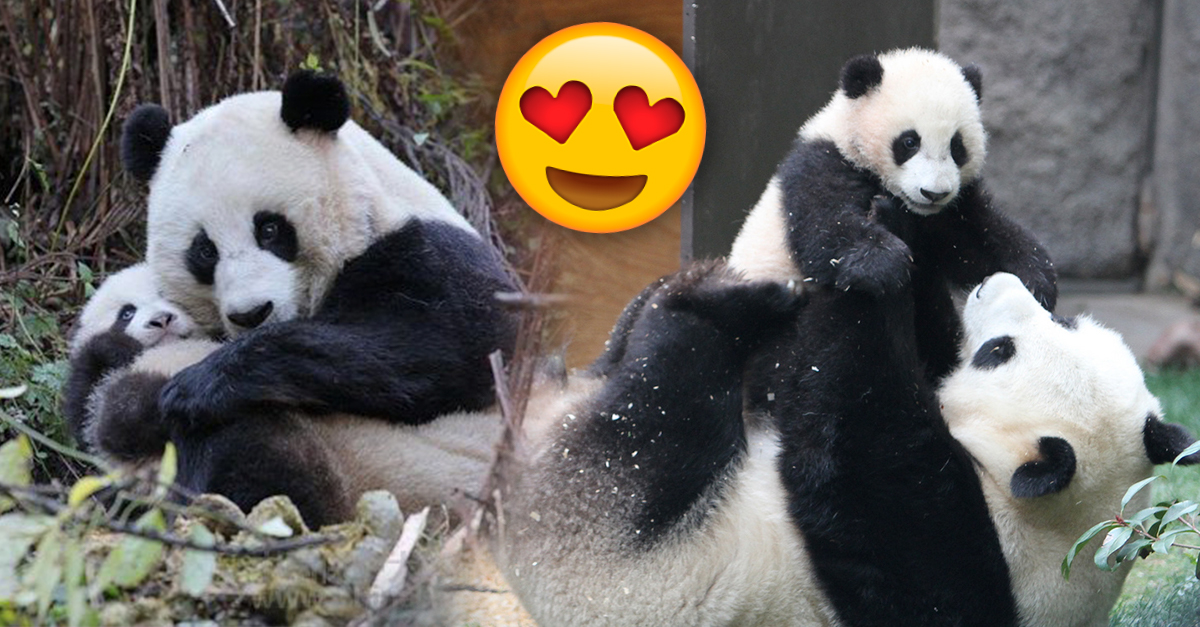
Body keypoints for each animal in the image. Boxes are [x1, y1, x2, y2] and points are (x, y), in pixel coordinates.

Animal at [119, 70, 518, 437]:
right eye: (204, 251)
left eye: (269, 229)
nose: (252, 314)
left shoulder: (431, 254)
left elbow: (440, 348)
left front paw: (196, 387)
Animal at [728, 47, 1056, 382]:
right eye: (909, 142)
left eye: (957, 146)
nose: (934, 193)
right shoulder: (823, 163)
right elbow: (826, 228)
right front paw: (884, 262)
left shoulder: (949, 211)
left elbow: (977, 240)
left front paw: (1034, 280)